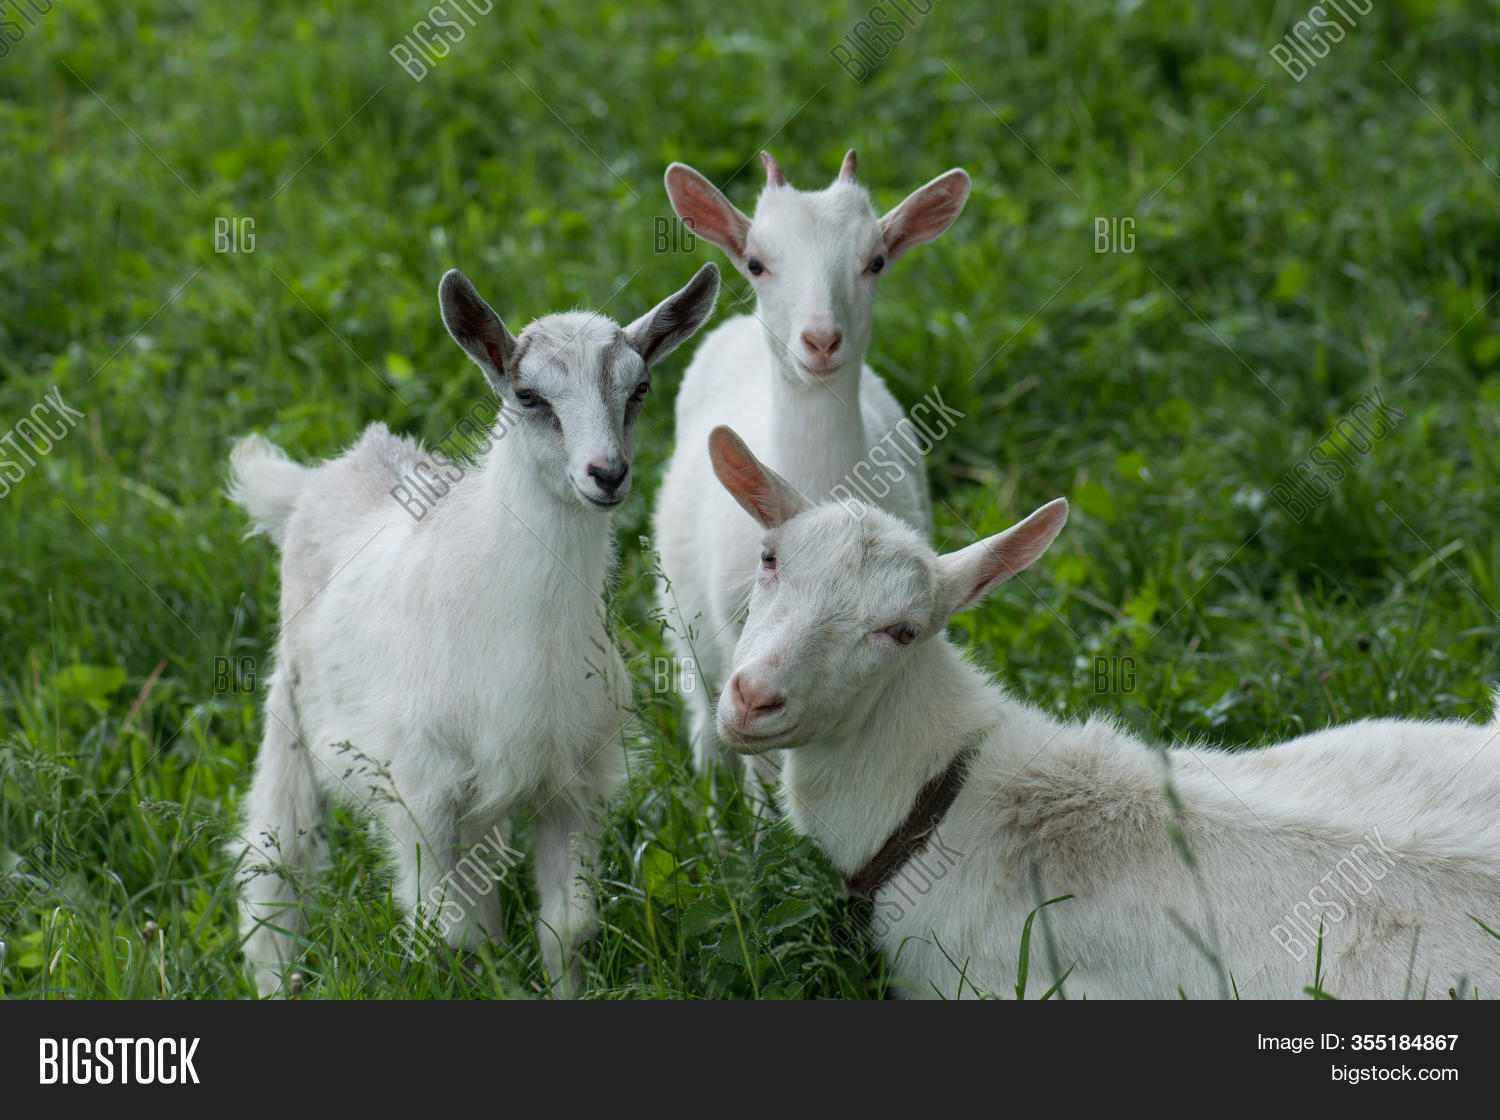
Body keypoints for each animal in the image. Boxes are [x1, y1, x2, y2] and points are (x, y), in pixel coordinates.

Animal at [226, 263, 720, 997]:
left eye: (639, 389)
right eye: (528, 395)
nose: (607, 474)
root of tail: (321, 479)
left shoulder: (571, 781)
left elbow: (565, 927)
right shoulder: (419, 792)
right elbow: (455, 932)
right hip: (290, 712)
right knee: (274, 858)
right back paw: (275, 977)